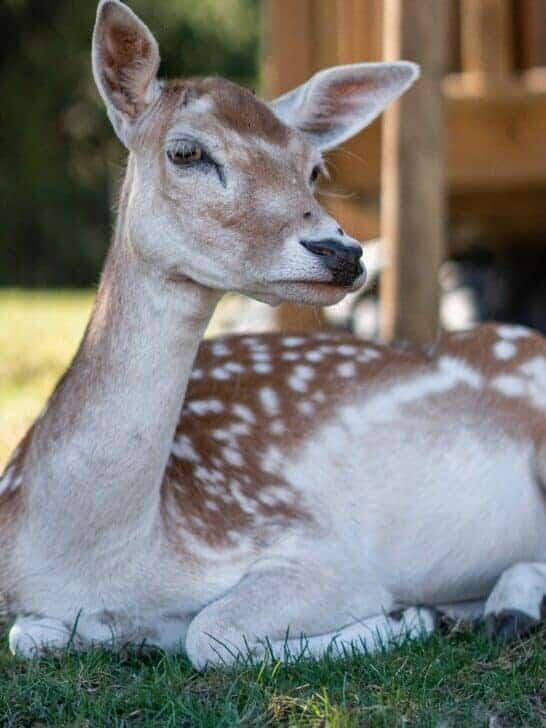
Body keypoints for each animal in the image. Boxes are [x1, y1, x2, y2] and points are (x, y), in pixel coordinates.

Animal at [1, 0, 545, 670]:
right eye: (186, 152)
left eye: (314, 167)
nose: (342, 251)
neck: (98, 557)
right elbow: (29, 636)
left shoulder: (316, 543)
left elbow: (210, 633)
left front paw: (408, 617)